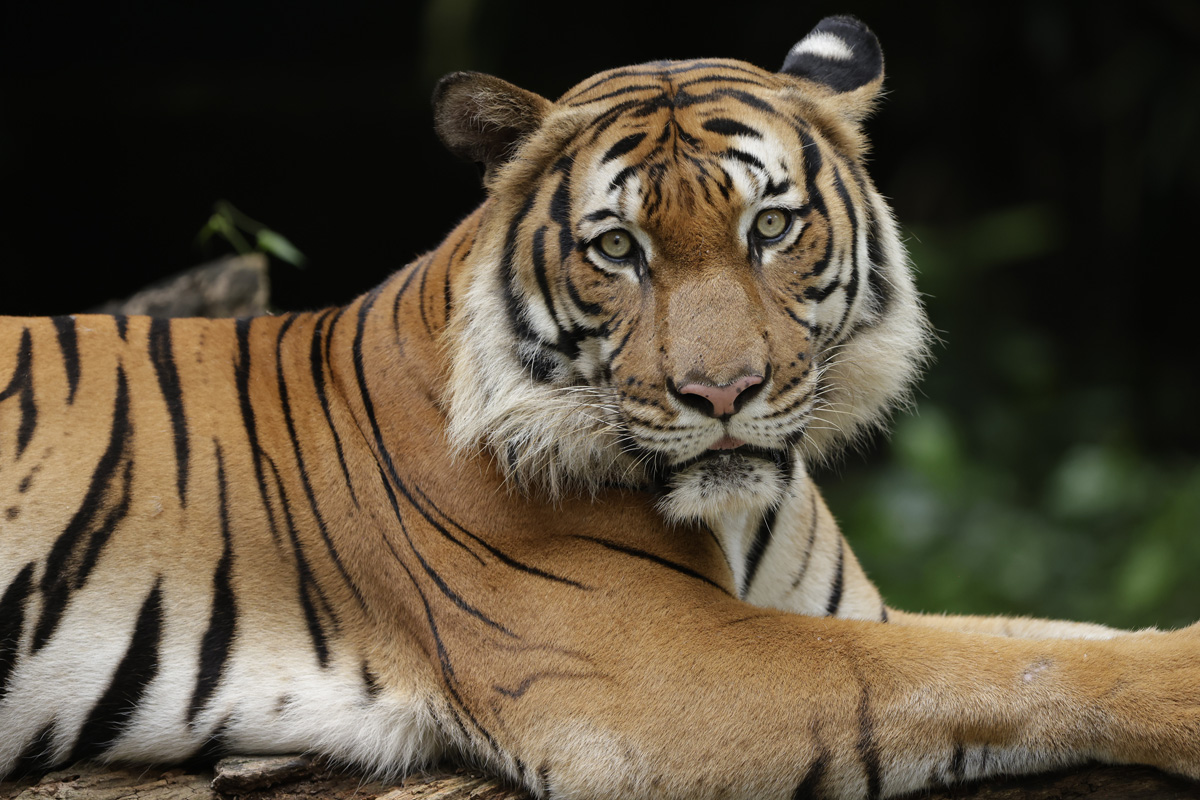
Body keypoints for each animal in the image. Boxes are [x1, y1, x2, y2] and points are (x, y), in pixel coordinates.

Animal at [1, 14, 1197, 800]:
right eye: (618, 248)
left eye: (770, 226)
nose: (722, 392)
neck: (739, 515)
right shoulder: (665, 671)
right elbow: (999, 664)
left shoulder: (846, 614)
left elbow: (1037, 636)